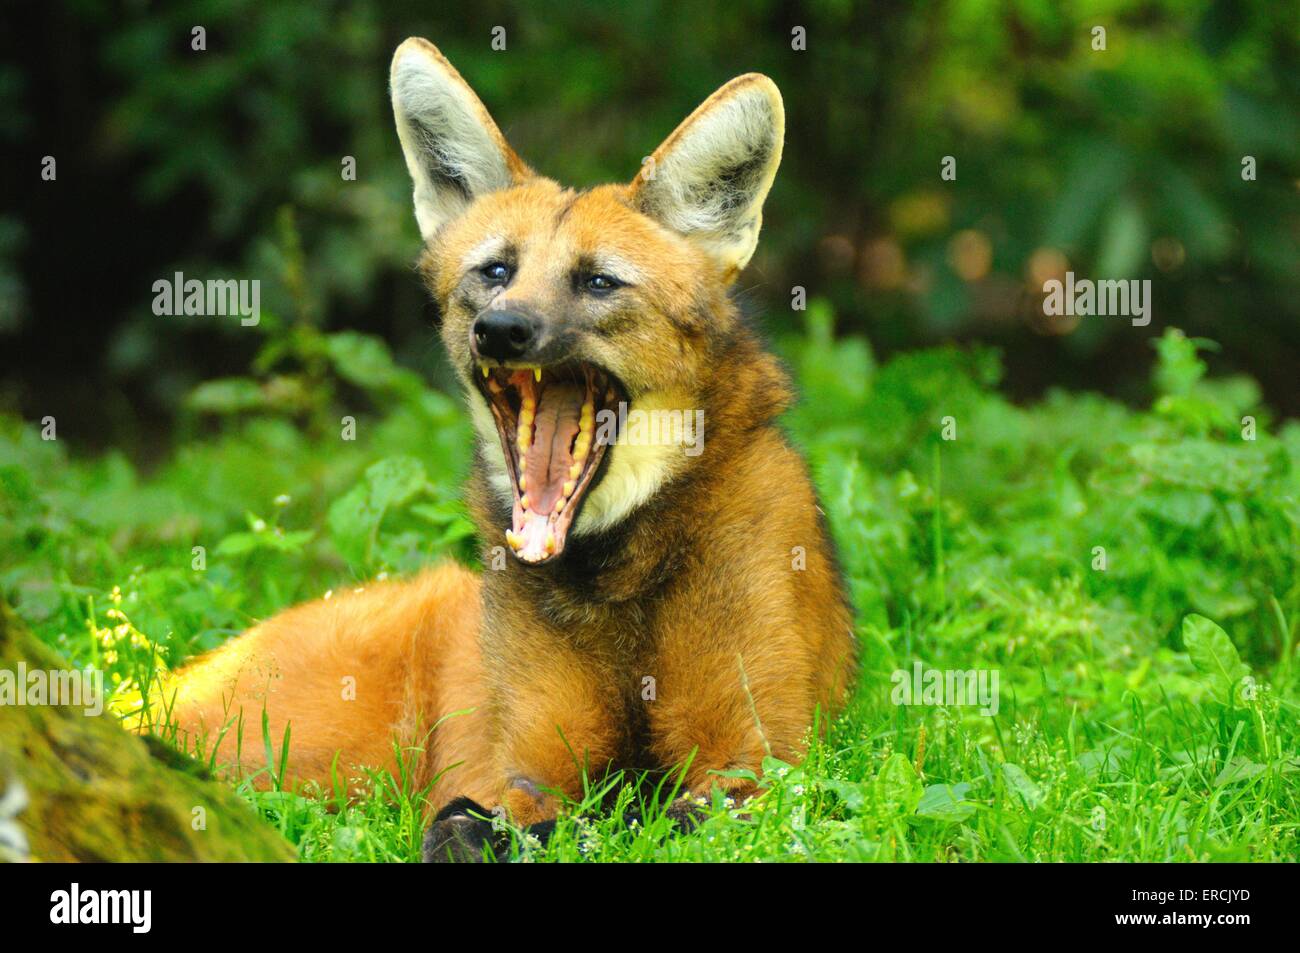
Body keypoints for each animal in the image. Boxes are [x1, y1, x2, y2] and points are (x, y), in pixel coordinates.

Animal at [158, 37, 856, 861]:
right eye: (495, 271)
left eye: (598, 282)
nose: (501, 328)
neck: (610, 576)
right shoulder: (526, 765)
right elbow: (521, 814)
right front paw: (484, 829)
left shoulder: (758, 765)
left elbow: (649, 814)